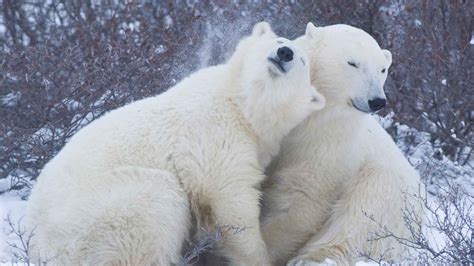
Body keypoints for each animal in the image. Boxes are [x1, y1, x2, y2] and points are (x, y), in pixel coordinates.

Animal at [24, 22, 324, 266]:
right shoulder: (214, 133)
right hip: (99, 216)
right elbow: (230, 198)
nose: (285, 53)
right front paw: (256, 256)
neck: (240, 104)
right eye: (279, 40)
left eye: (302, 60)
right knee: (155, 204)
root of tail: (38, 246)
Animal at [262, 23, 424, 266]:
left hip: (389, 195)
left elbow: (302, 197)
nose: (377, 100)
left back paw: (312, 258)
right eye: (353, 63)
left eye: (382, 69)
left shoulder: (329, 144)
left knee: (361, 215)